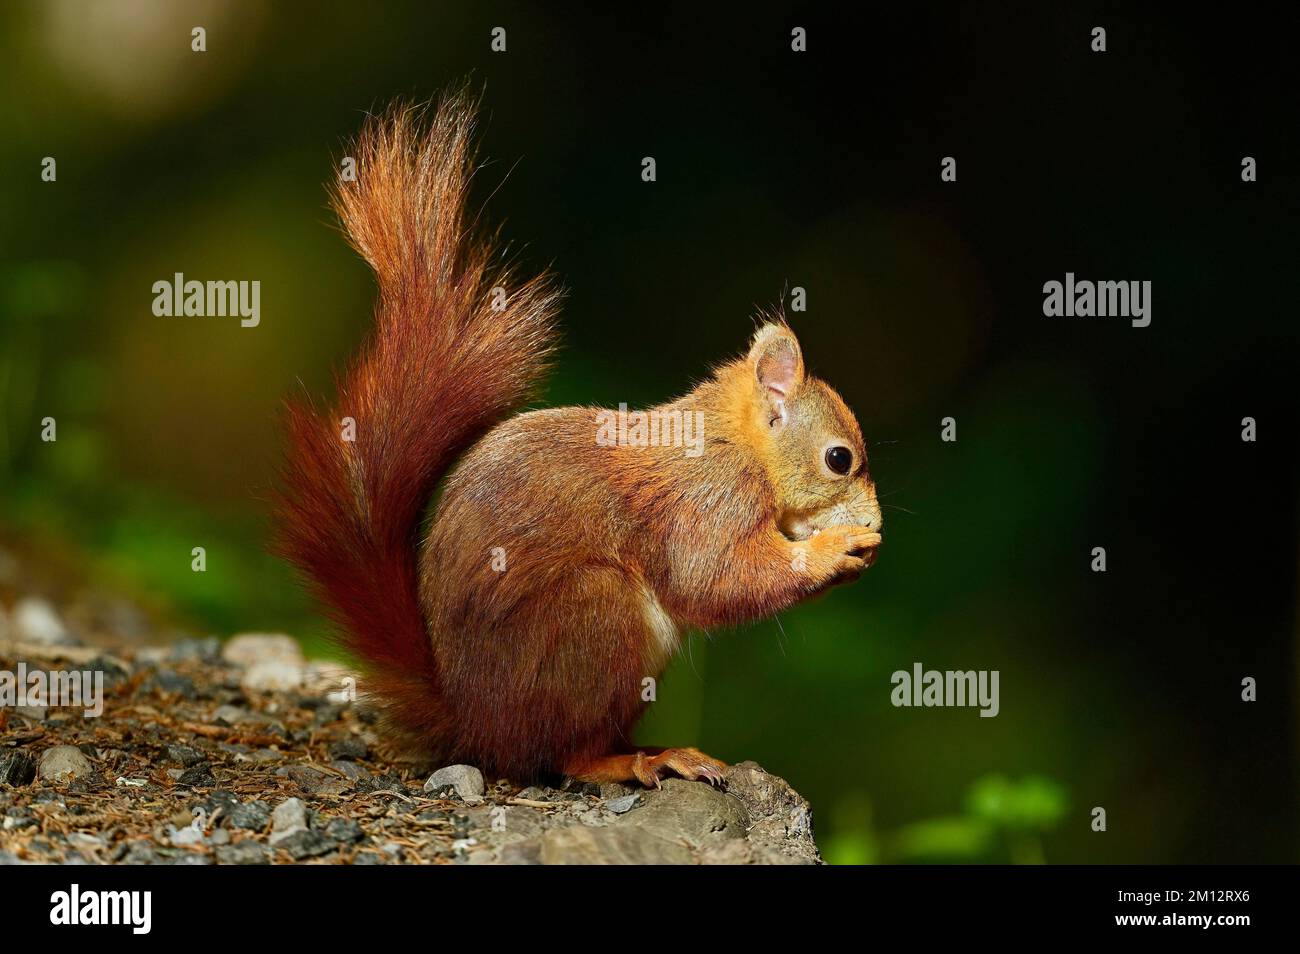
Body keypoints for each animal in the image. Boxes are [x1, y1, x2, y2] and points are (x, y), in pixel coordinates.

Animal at [274, 89, 883, 787]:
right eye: (839, 459)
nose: (877, 523)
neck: (736, 444)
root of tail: (473, 723)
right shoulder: (709, 500)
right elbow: (715, 579)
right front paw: (835, 550)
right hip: (595, 620)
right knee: (565, 754)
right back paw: (640, 760)